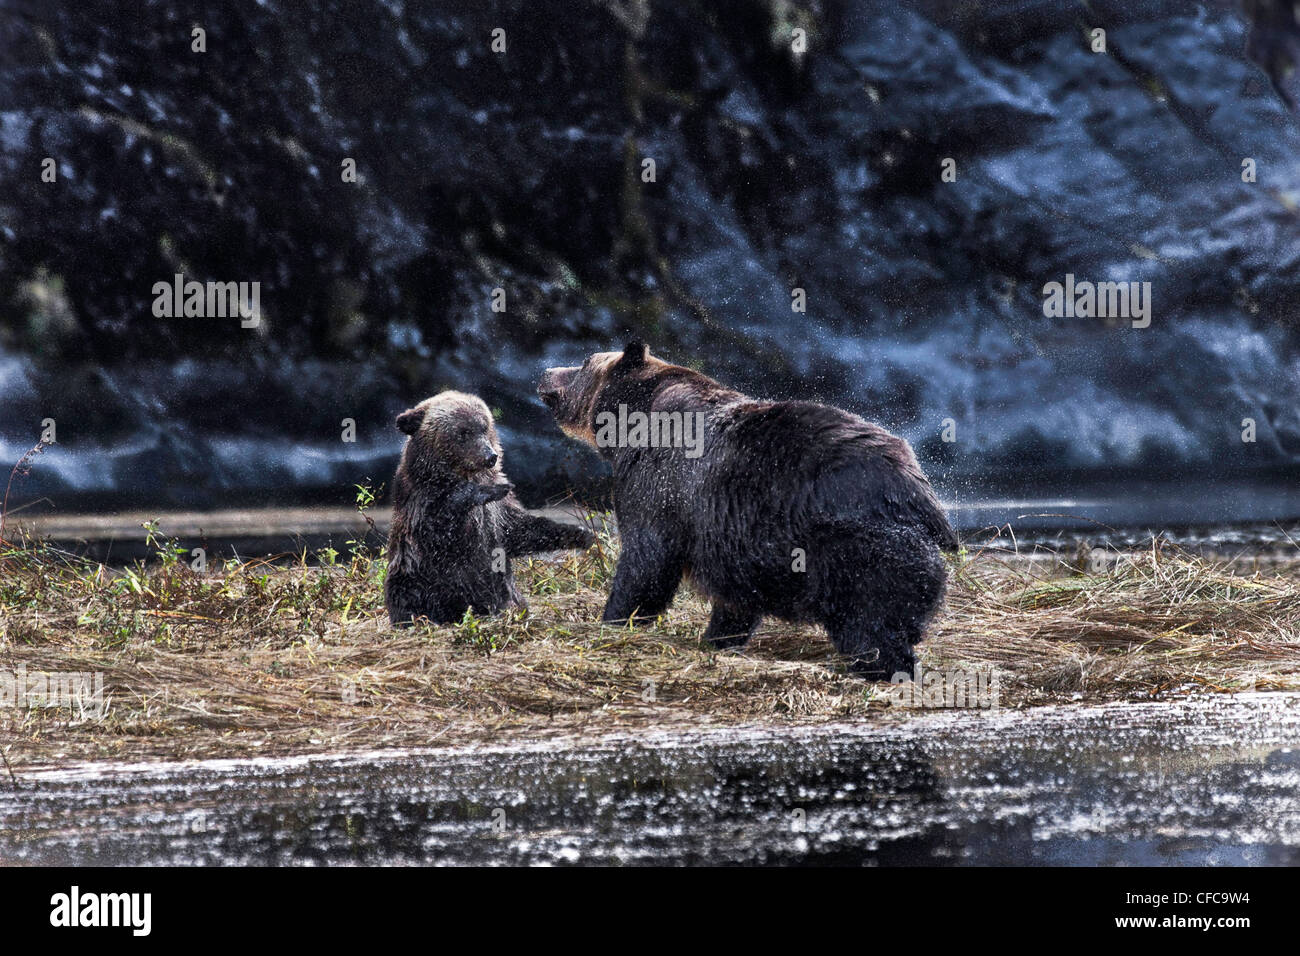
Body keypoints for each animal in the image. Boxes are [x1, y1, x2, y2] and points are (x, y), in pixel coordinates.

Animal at [385, 390, 596, 626]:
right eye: (463, 432)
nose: (490, 456)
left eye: (484, 427)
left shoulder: (498, 514)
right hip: (414, 572)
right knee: (407, 592)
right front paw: (488, 490)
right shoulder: (423, 499)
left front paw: (581, 533)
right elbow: (440, 520)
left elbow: (517, 529)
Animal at [537, 343, 958, 678]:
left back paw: (881, 667)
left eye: (584, 361)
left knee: (870, 621)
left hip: (856, 545)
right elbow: (734, 599)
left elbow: (646, 559)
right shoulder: (734, 538)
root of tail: (919, 489)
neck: (632, 420)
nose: (546, 372)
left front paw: (614, 618)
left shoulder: (662, 484)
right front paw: (718, 638)